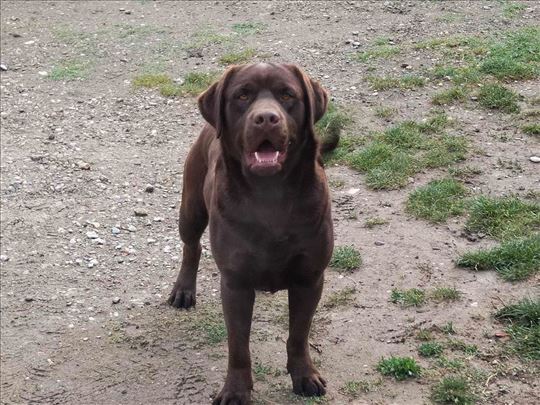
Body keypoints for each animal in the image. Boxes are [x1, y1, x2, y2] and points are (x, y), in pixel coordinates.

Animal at [169, 63, 338, 404]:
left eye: (287, 95)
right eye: (242, 95)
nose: (266, 118)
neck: (270, 195)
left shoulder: (310, 277)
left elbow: (299, 334)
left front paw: (304, 376)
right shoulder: (235, 283)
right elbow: (238, 346)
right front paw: (235, 390)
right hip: (191, 209)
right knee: (191, 246)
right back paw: (184, 290)